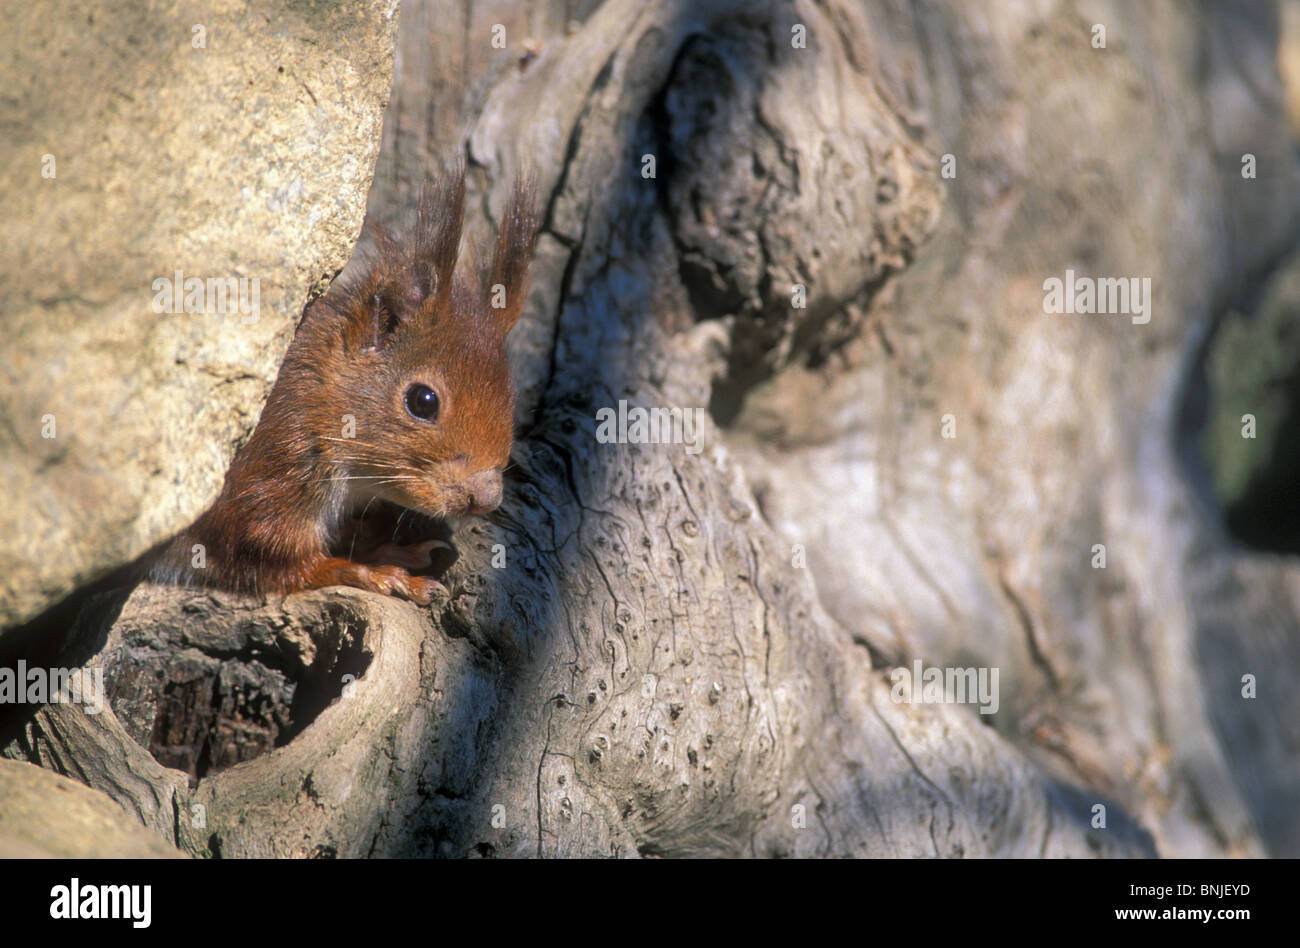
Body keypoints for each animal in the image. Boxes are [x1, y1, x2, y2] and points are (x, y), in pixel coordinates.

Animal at [152, 169, 537, 604]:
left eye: (512, 397)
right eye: (423, 401)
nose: (485, 498)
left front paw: (381, 547)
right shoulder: (268, 471)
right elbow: (277, 558)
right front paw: (372, 572)